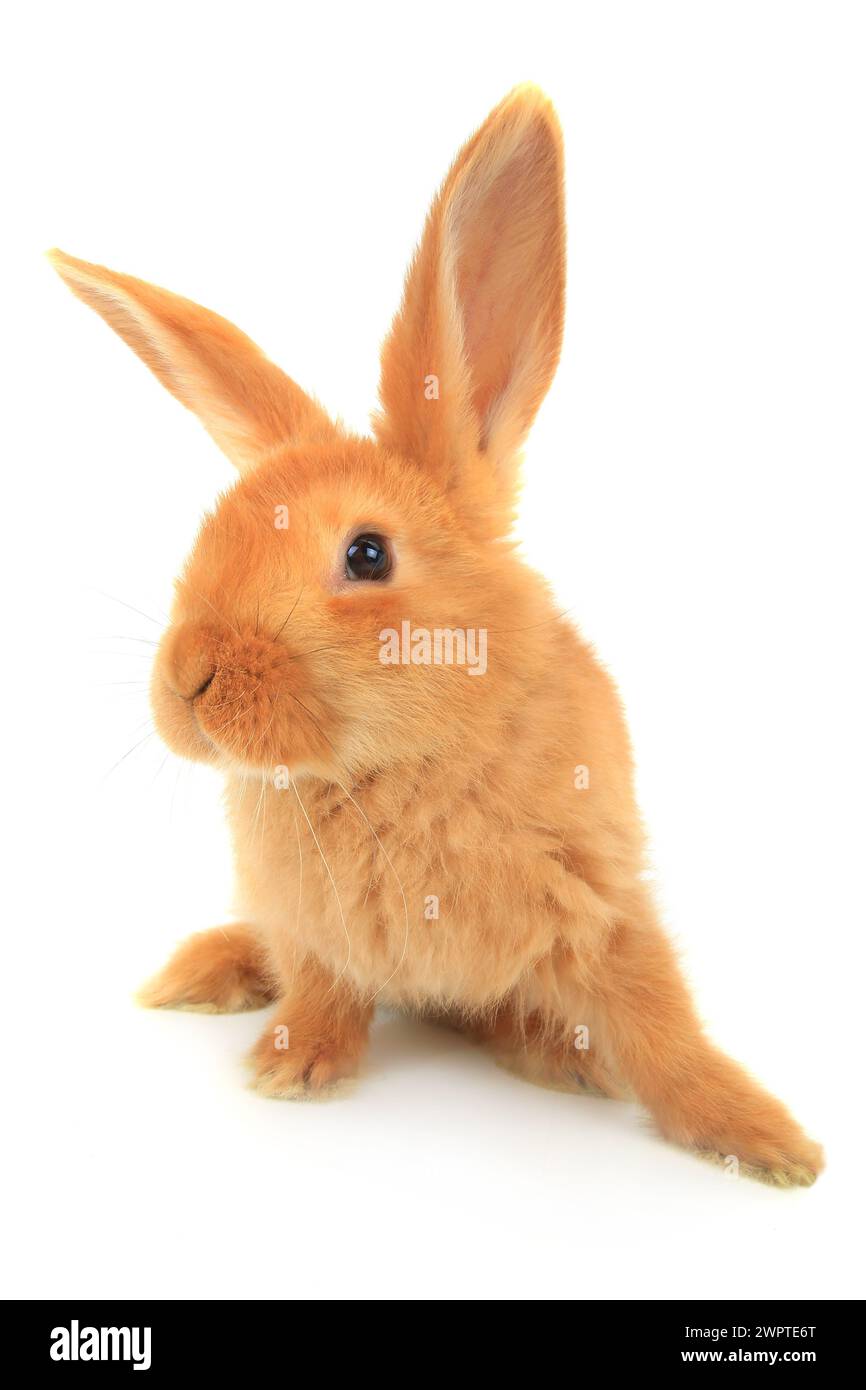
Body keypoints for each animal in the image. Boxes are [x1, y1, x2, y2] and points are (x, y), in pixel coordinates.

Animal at [50, 84, 823, 1185]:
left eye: (367, 555)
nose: (186, 683)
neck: (393, 763)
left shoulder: (602, 903)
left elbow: (660, 1026)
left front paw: (766, 1142)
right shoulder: (311, 929)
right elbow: (320, 986)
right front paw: (293, 1065)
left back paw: (556, 1057)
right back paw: (205, 973)